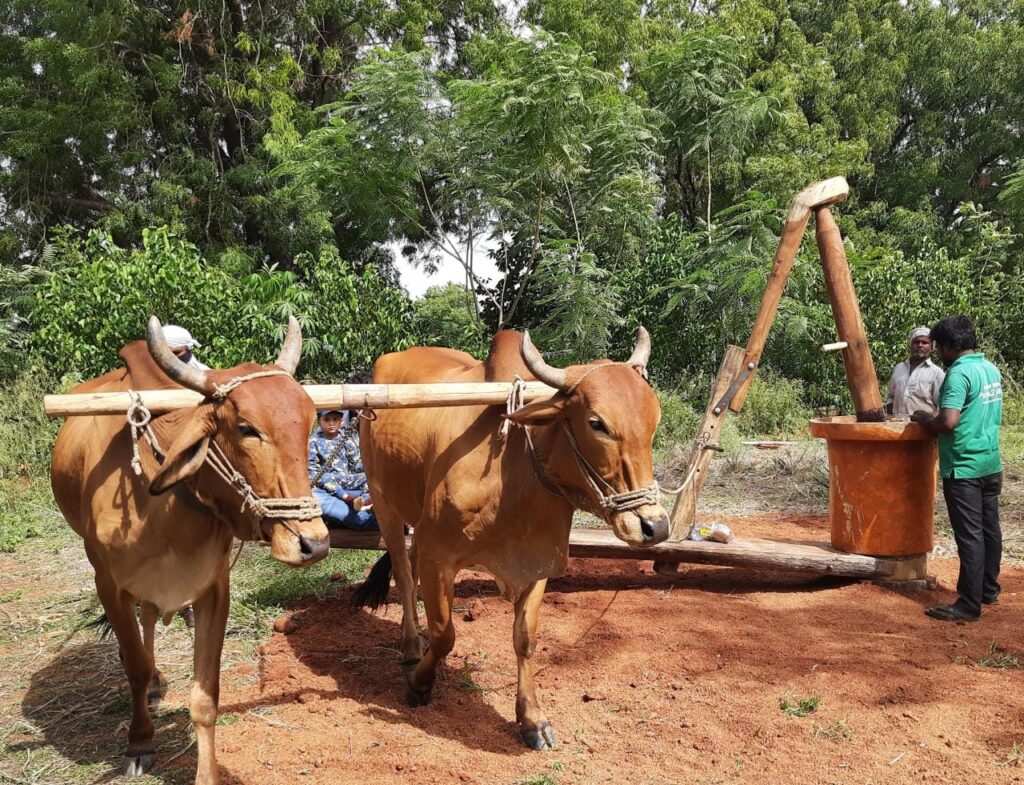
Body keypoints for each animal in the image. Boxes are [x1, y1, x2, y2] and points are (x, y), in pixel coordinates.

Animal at [50, 316, 330, 785]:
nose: (314, 543)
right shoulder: (109, 586)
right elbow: (134, 667)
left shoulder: (213, 589)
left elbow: (205, 695)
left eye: (310, 422)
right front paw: (140, 742)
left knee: (148, 618)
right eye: (247, 428)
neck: (164, 504)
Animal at [354, 328, 669, 749]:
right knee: (404, 575)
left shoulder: (537, 563)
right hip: (385, 502)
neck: (514, 471)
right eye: (597, 423)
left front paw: (532, 718)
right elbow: (445, 634)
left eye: (654, 420)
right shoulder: (441, 558)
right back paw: (409, 645)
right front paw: (420, 683)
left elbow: (525, 638)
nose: (654, 526)